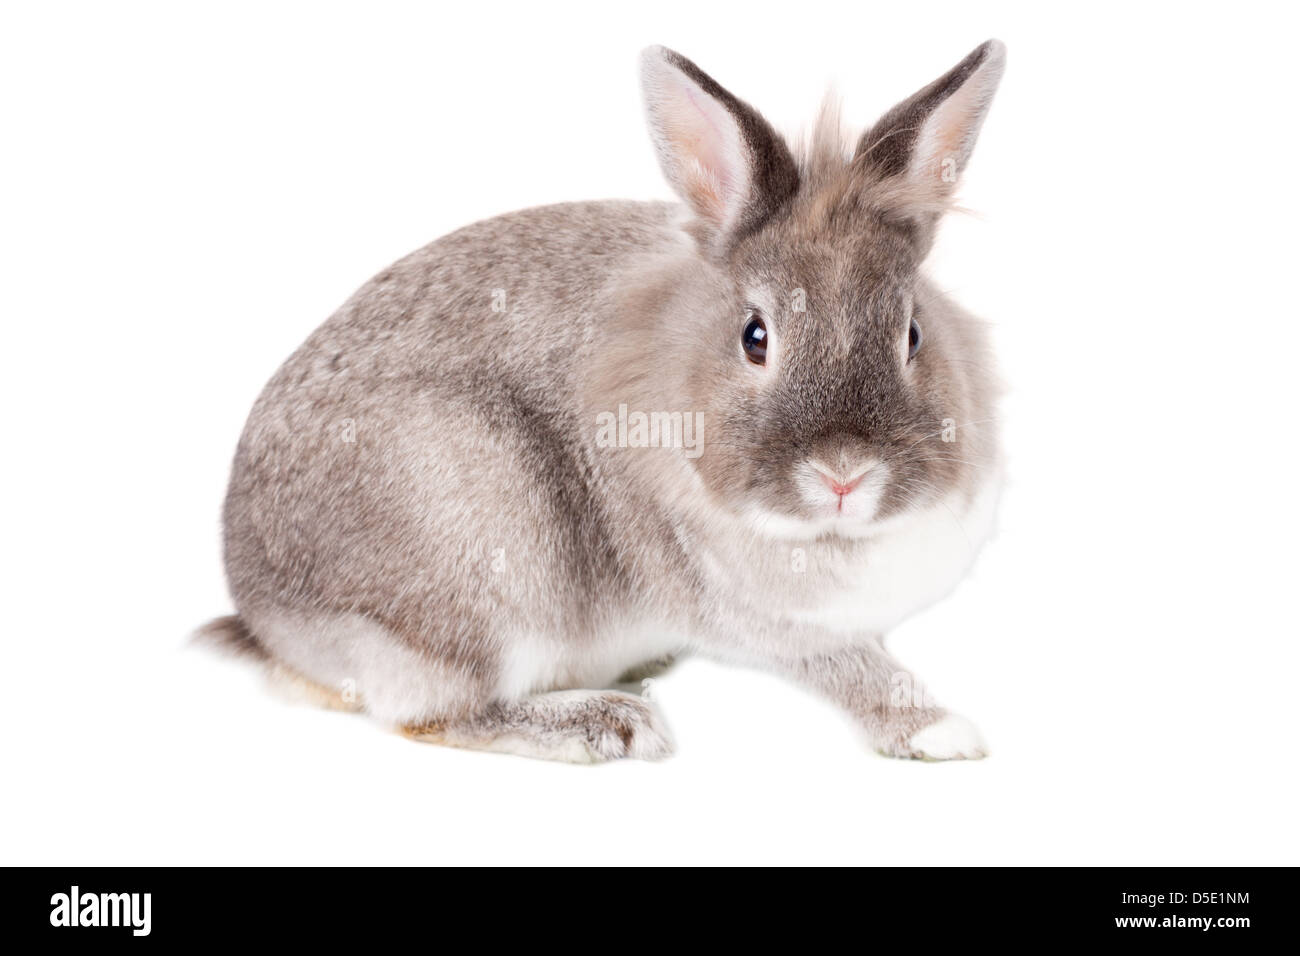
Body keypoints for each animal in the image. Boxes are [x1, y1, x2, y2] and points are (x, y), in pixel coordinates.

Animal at [199, 39, 1007, 763]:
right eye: (755, 336)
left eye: (912, 333)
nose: (844, 474)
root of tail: (268, 622)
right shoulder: (753, 614)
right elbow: (849, 665)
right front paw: (940, 732)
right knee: (434, 713)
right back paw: (609, 723)